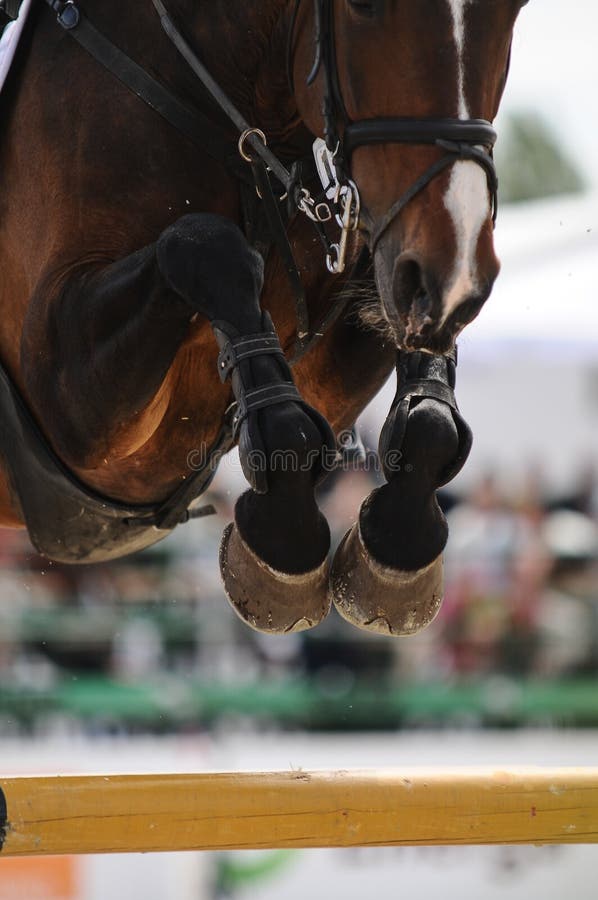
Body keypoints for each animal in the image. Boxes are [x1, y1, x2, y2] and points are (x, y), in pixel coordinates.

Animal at [0, 0, 529, 636]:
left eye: (513, 12)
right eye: (364, 8)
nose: (455, 277)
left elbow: (428, 414)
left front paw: (396, 546)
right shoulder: (61, 395)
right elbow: (208, 242)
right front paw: (284, 538)